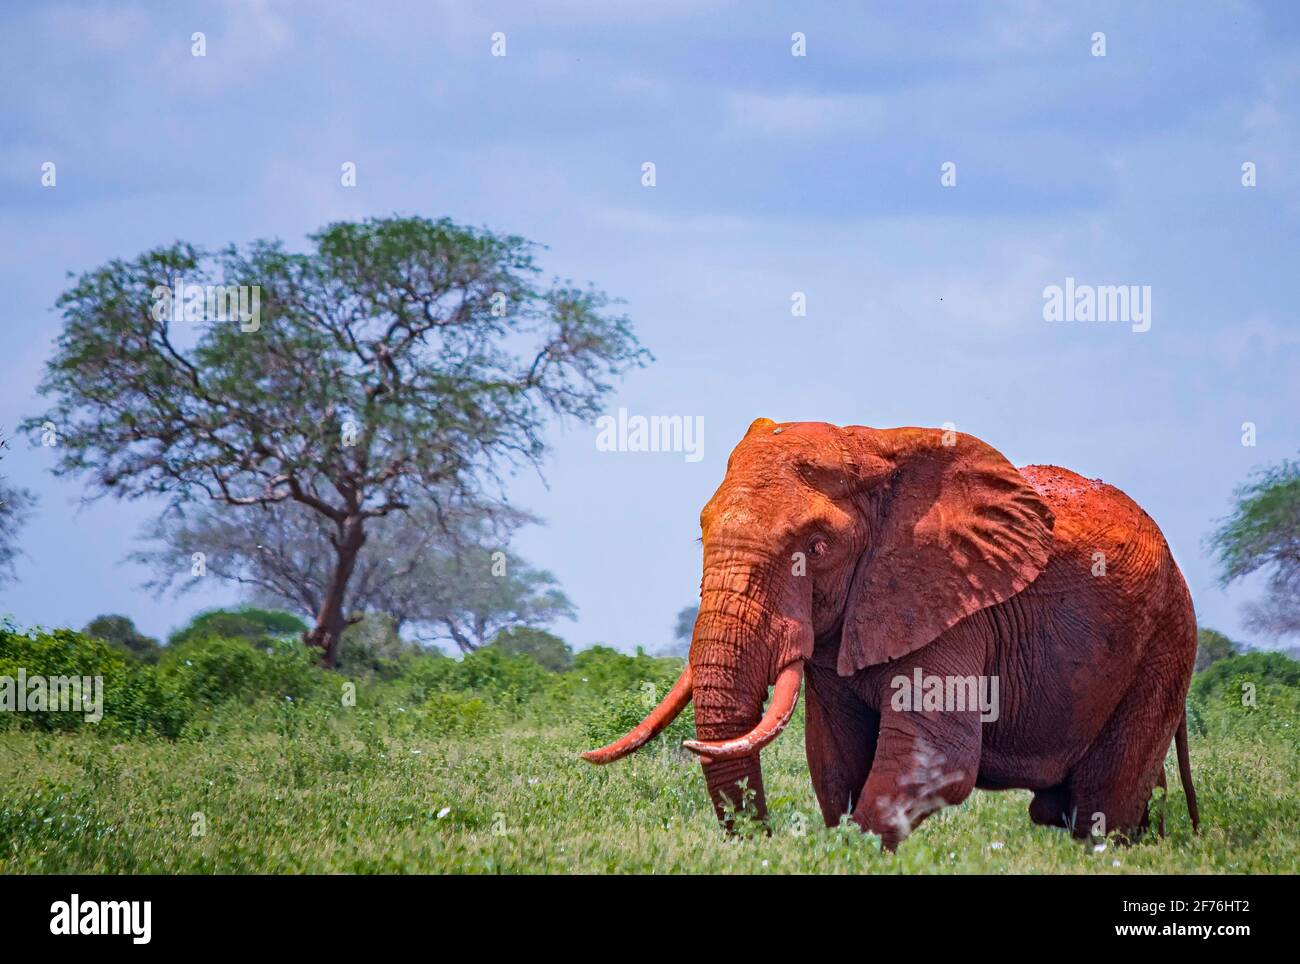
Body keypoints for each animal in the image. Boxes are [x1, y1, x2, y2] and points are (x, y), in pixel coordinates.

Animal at [583, 419, 1200, 849]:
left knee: (1100, 807)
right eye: (700, 536)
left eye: (817, 548)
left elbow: (931, 759)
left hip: (1166, 644)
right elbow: (834, 761)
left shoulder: (954, 606)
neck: (870, 447)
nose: (763, 841)